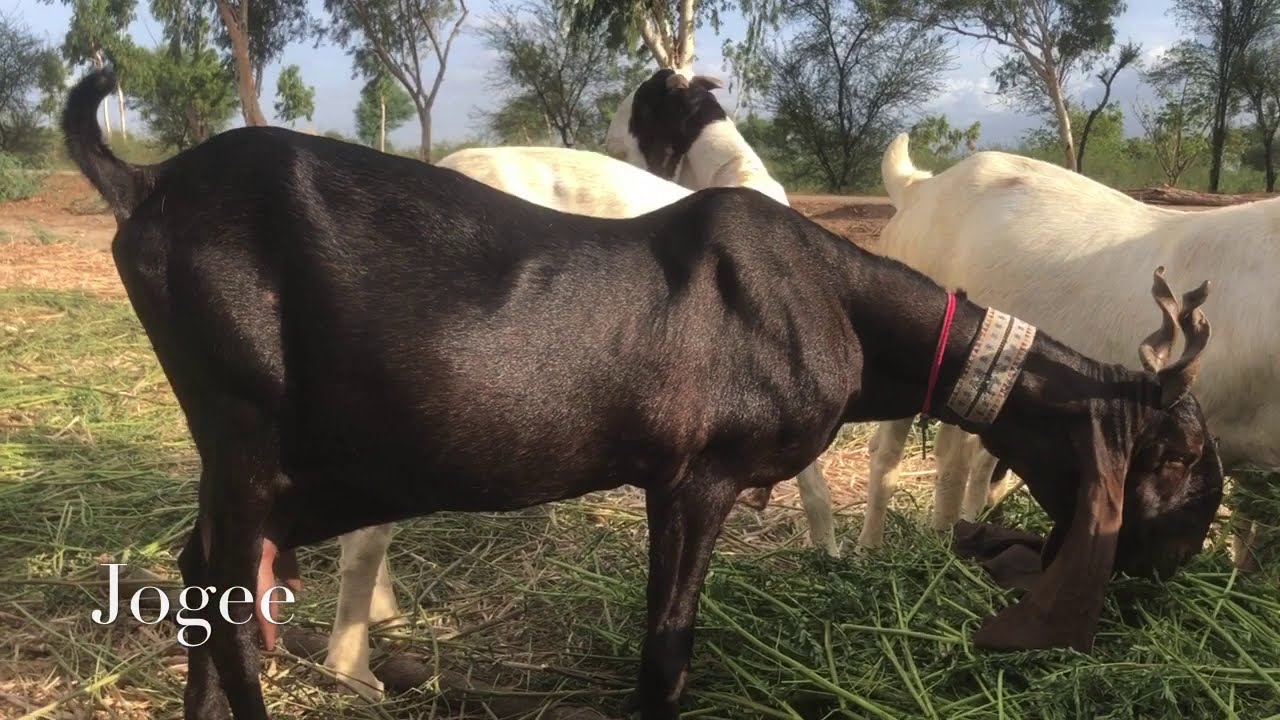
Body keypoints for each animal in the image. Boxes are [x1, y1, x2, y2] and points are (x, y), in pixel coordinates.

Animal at [858, 134, 1275, 571]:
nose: (1176, 557)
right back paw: (871, 549)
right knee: (889, 453)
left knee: (961, 457)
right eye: (1174, 459)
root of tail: (916, 186)